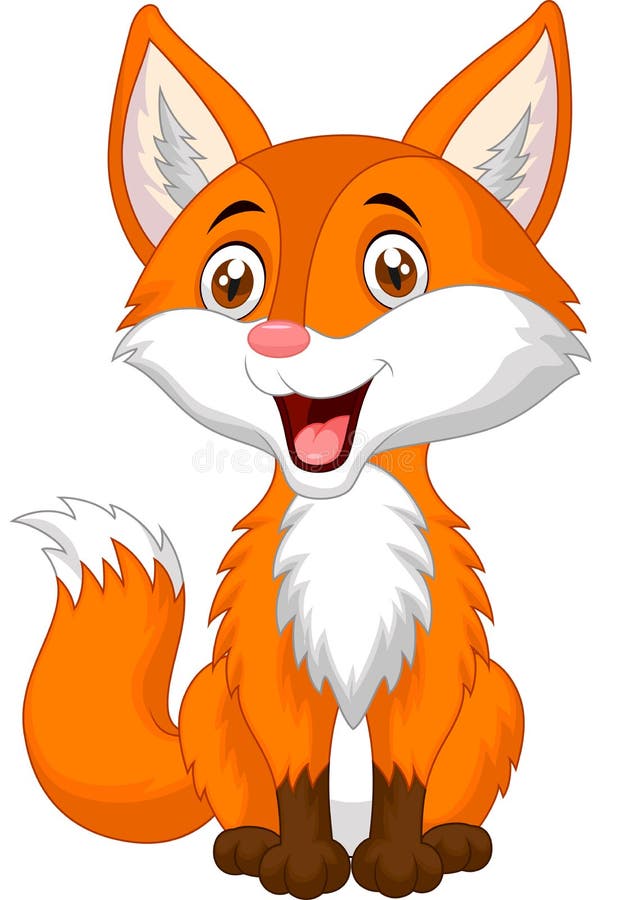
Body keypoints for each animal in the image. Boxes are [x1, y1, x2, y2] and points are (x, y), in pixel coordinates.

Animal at [16, 3, 587, 898]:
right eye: (233, 282)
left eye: (395, 269)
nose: (276, 339)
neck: (346, 529)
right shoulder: (274, 669)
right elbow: (300, 782)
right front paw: (305, 862)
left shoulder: (422, 671)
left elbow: (401, 782)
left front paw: (397, 861)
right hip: (210, 699)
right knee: (239, 795)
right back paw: (245, 845)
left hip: (498, 695)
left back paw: (456, 841)